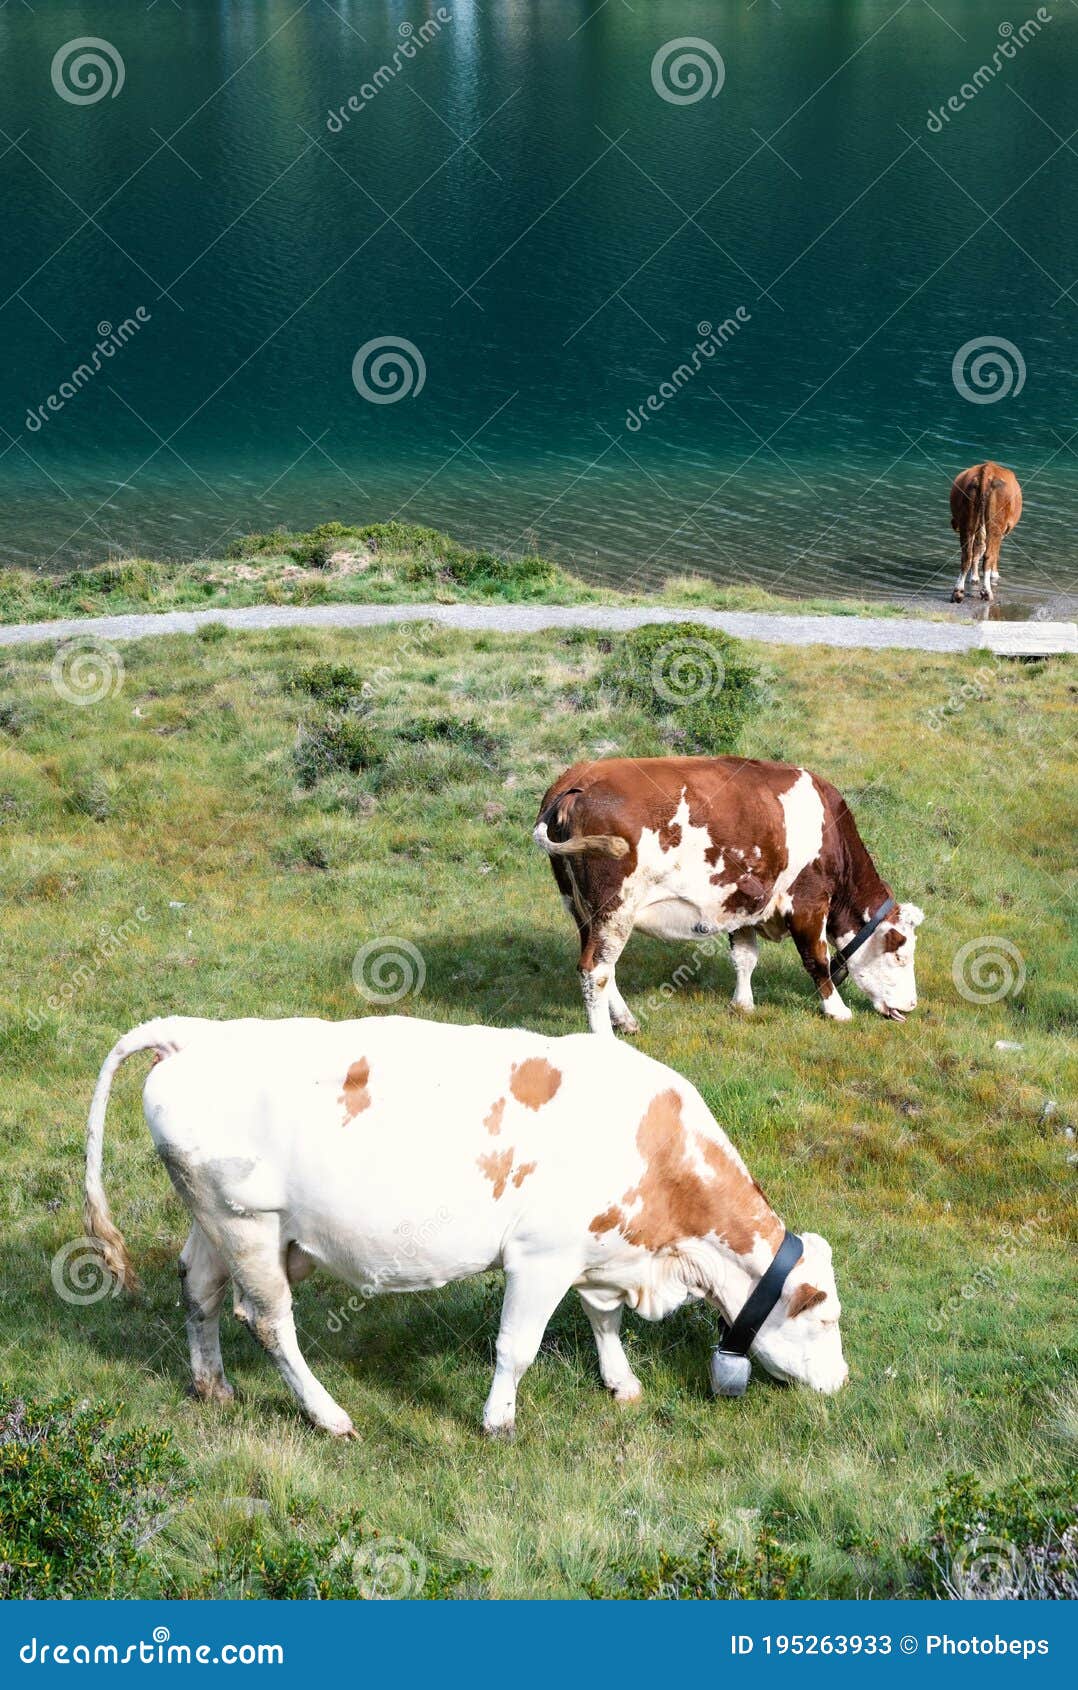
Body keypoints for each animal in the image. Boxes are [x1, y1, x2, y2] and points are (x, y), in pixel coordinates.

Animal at [84, 1014, 848, 1437]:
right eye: (827, 1318)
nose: (841, 1383)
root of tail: (195, 1035)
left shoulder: (597, 1248)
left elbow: (602, 1319)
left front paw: (621, 1382)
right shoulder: (541, 1256)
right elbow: (517, 1347)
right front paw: (498, 1421)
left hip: (221, 1220)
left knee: (198, 1289)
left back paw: (211, 1385)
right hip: (245, 1223)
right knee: (268, 1322)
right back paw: (329, 1416)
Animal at [534, 757, 923, 1033]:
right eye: (900, 955)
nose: (911, 1005)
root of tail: (576, 780)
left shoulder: (742, 900)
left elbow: (745, 957)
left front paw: (743, 1004)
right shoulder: (808, 901)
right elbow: (817, 960)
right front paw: (837, 1009)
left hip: (581, 908)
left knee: (601, 966)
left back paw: (627, 1021)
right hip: (614, 906)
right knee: (595, 971)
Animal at [950, 461, 1022, 603]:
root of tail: (987, 468)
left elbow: (977, 549)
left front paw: (974, 577)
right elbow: (993, 553)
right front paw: (994, 574)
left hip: (967, 521)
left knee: (967, 555)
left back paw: (958, 592)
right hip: (996, 524)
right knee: (988, 555)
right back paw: (986, 592)